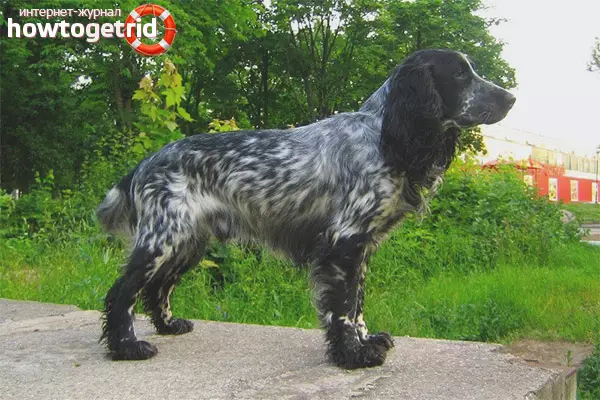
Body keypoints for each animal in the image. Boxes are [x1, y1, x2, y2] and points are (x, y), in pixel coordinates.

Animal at [96, 49, 512, 368]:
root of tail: (145, 163)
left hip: (188, 243)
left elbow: (358, 303)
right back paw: (126, 346)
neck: (382, 135)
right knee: (123, 292)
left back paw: (168, 325)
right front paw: (352, 355)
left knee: (157, 288)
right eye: (459, 74)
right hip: (161, 239)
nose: (510, 98)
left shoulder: (362, 248)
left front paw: (366, 340)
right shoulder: (343, 242)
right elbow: (342, 307)